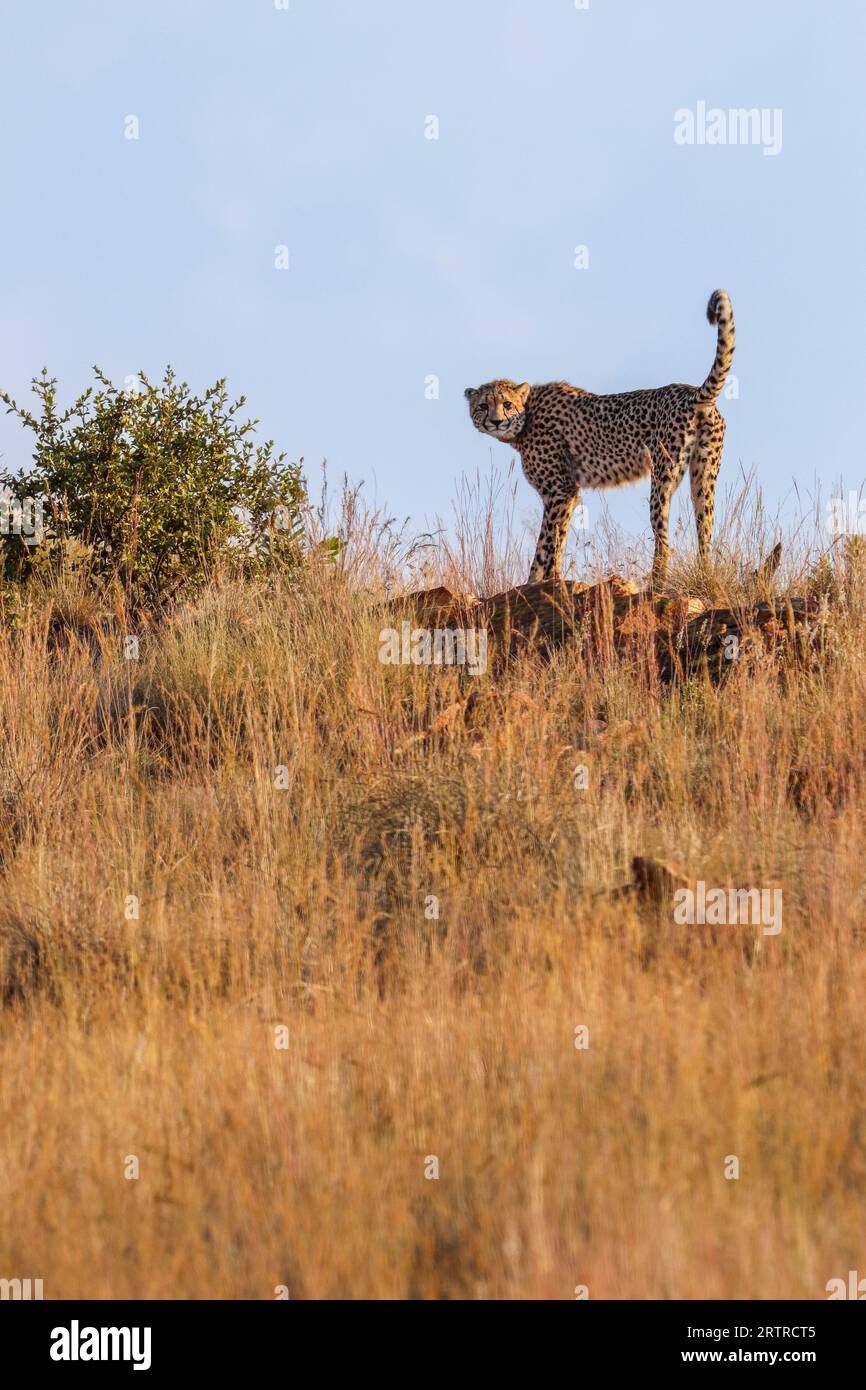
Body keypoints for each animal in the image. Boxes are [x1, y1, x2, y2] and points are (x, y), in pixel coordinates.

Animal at [464, 289, 734, 587]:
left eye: (507, 404)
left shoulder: (560, 489)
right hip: (704, 475)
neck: (526, 417)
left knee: (663, 538)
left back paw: (655, 583)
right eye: (482, 406)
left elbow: (548, 541)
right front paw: (545, 579)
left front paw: (541, 582)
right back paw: (705, 577)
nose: (496, 421)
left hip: (663, 475)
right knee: (705, 531)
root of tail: (691, 392)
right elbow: (555, 540)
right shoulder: (567, 494)